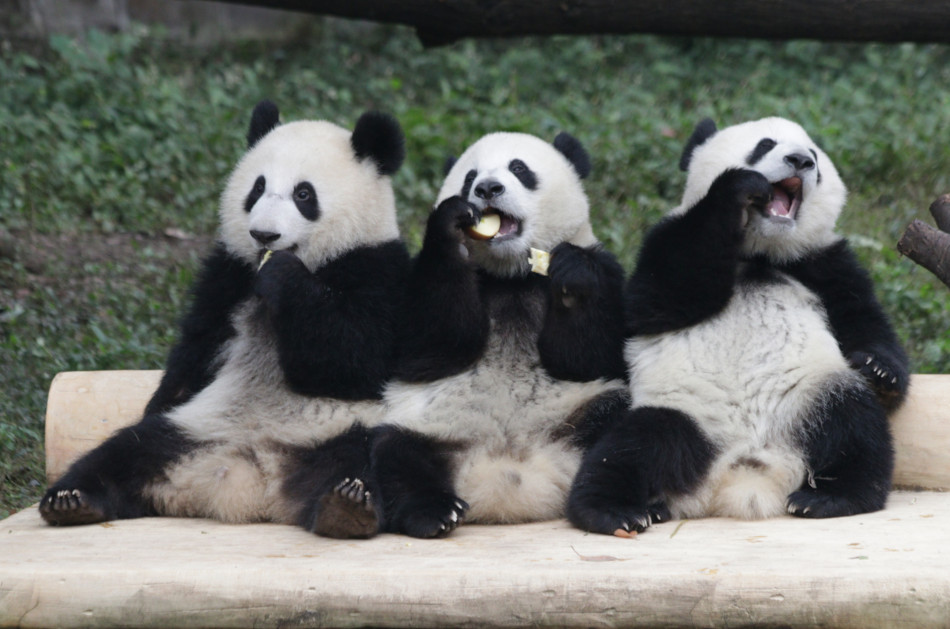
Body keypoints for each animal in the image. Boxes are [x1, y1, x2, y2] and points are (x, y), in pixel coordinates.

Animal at [39, 101, 410, 539]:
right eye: (257, 188)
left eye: (304, 194)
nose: (264, 235)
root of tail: (247, 478)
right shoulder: (228, 276)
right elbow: (196, 349)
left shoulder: (380, 271)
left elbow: (357, 359)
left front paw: (284, 277)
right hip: (192, 431)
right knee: (123, 453)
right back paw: (72, 500)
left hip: (336, 432)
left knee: (358, 460)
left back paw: (347, 506)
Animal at [370, 131, 631, 538]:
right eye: (469, 177)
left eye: (519, 168)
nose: (488, 188)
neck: (511, 274)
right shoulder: (418, 284)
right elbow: (428, 349)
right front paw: (450, 225)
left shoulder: (607, 271)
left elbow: (590, 356)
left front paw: (572, 276)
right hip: (431, 427)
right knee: (395, 450)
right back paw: (434, 512)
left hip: (580, 412)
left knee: (619, 433)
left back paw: (609, 511)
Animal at [567, 116, 910, 537]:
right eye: (765, 145)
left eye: (815, 157)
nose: (800, 160)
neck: (761, 253)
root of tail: (741, 477)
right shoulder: (664, 239)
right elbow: (657, 300)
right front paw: (739, 188)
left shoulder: (823, 261)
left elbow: (864, 321)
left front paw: (878, 370)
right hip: (685, 414)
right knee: (630, 446)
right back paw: (617, 511)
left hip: (809, 399)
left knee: (854, 427)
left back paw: (829, 498)